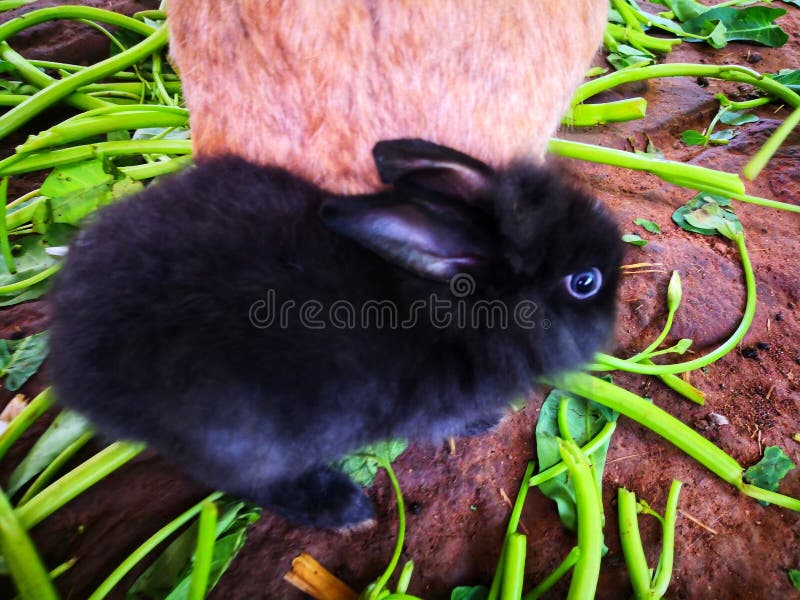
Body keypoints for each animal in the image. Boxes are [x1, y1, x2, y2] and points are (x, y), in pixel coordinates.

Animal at [48, 139, 623, 529]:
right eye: (585, 283)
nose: (614, 312)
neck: (471, 310)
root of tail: (75, 363)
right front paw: (487, 420)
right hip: (242, 437)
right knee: (247, 481)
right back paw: (343, 508)